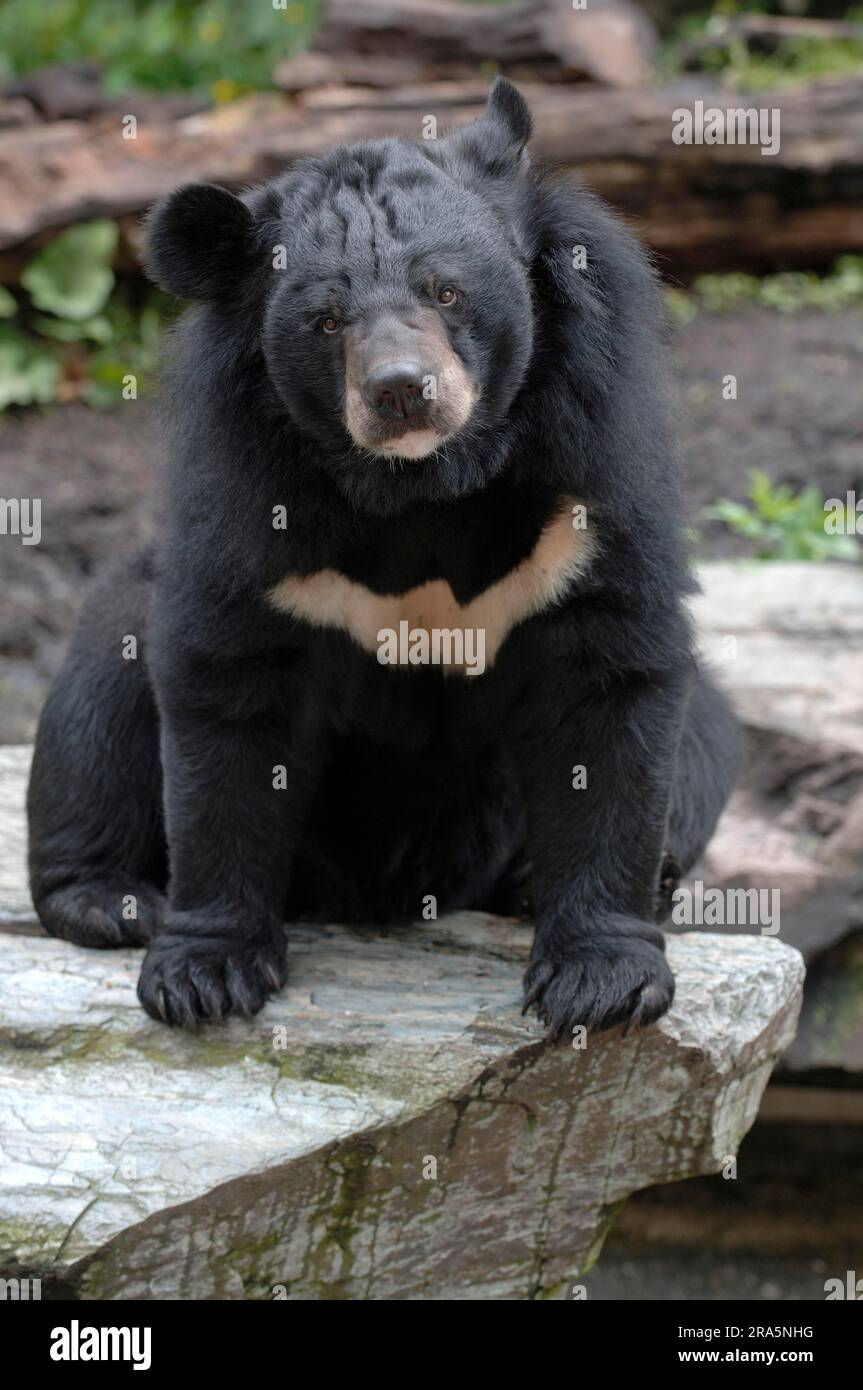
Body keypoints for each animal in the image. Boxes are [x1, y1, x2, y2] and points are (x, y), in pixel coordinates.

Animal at [27, 78, 740, 1036]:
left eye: (447, 291)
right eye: (327, 320)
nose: (402, 391)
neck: (421, 485)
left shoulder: (587, 473)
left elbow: (608, 682)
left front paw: (602, 983)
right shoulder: (248, 490)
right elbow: (227, 700)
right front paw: (203, 975)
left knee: (703, 738)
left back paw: (551, 884)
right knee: (97, 697)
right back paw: (113, 901)